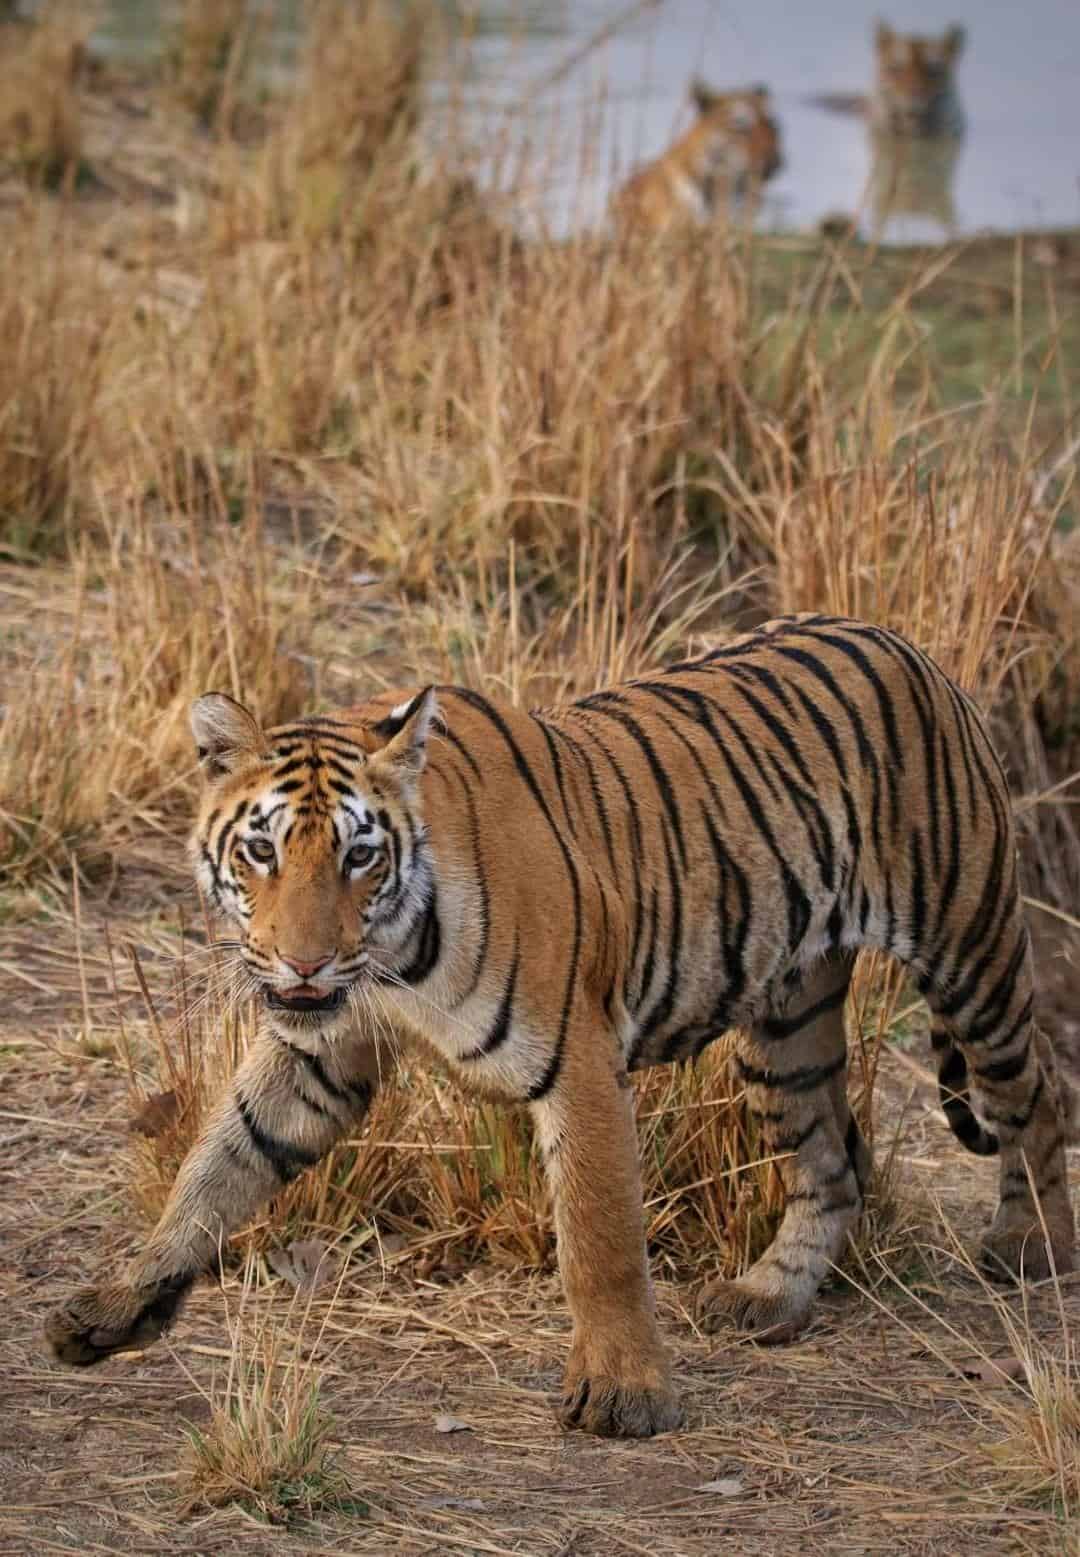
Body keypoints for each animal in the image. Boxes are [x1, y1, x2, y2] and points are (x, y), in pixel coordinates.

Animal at [46, 614, 1074, 1440]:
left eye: (359, 856)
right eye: (261, 849)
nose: (301, 962)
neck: (393, 957)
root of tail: (906, 645)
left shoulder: (577, 1061)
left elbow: (599, 1238)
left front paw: (625, 1394)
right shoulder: (319, 1049)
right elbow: (215, 1166)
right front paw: (116, 1305)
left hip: (971, 949)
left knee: (1035, 1096)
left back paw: (1033, 1245)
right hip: (787, 1027)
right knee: (830, 1164)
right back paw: (766, 1297)